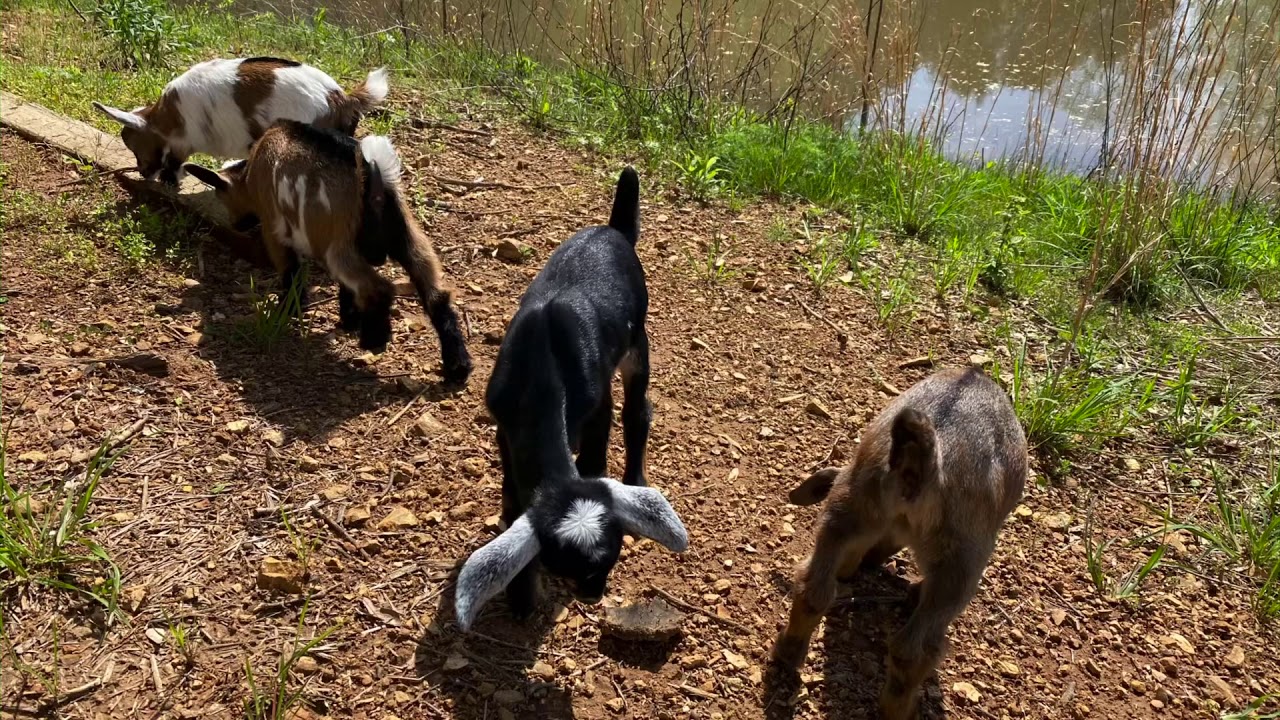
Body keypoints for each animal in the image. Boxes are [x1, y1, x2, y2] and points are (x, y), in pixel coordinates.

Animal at [94, 57, 388, 185]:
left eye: (135, 146)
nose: (143, 173)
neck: (167, 117)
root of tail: (340, 98)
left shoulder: (183, 140)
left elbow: (175, 160)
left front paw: (169, 178)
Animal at [183, 120, 472, 384]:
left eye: (222, 197)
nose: (237, 225)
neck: (252, 170)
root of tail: (373, 182)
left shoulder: (275, 229)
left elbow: (290, 272)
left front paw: (287, 311)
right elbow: (343, 288)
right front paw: (348, 320)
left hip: (340, 249)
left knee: (376, 288)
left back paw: (374, 340)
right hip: (408, 239)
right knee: (436, 295)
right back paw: (458, 367)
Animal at [452, 167, 688, 631]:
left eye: (613, 557)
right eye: (563, 565)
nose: (594, 595)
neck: (541, 371)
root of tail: (613, 230)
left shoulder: (597, 406)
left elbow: (596, 455)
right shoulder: (503, 429)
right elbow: (513, 493)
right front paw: (521, 600)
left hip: (637, 343)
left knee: (638, 411)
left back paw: (636, 476)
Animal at [772, 367, 1027, 719]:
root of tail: (924, 463)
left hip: (852, 501)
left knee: (814, 591)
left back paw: (789, 650)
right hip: (961, 562)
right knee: (913, 649)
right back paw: (900, 709)